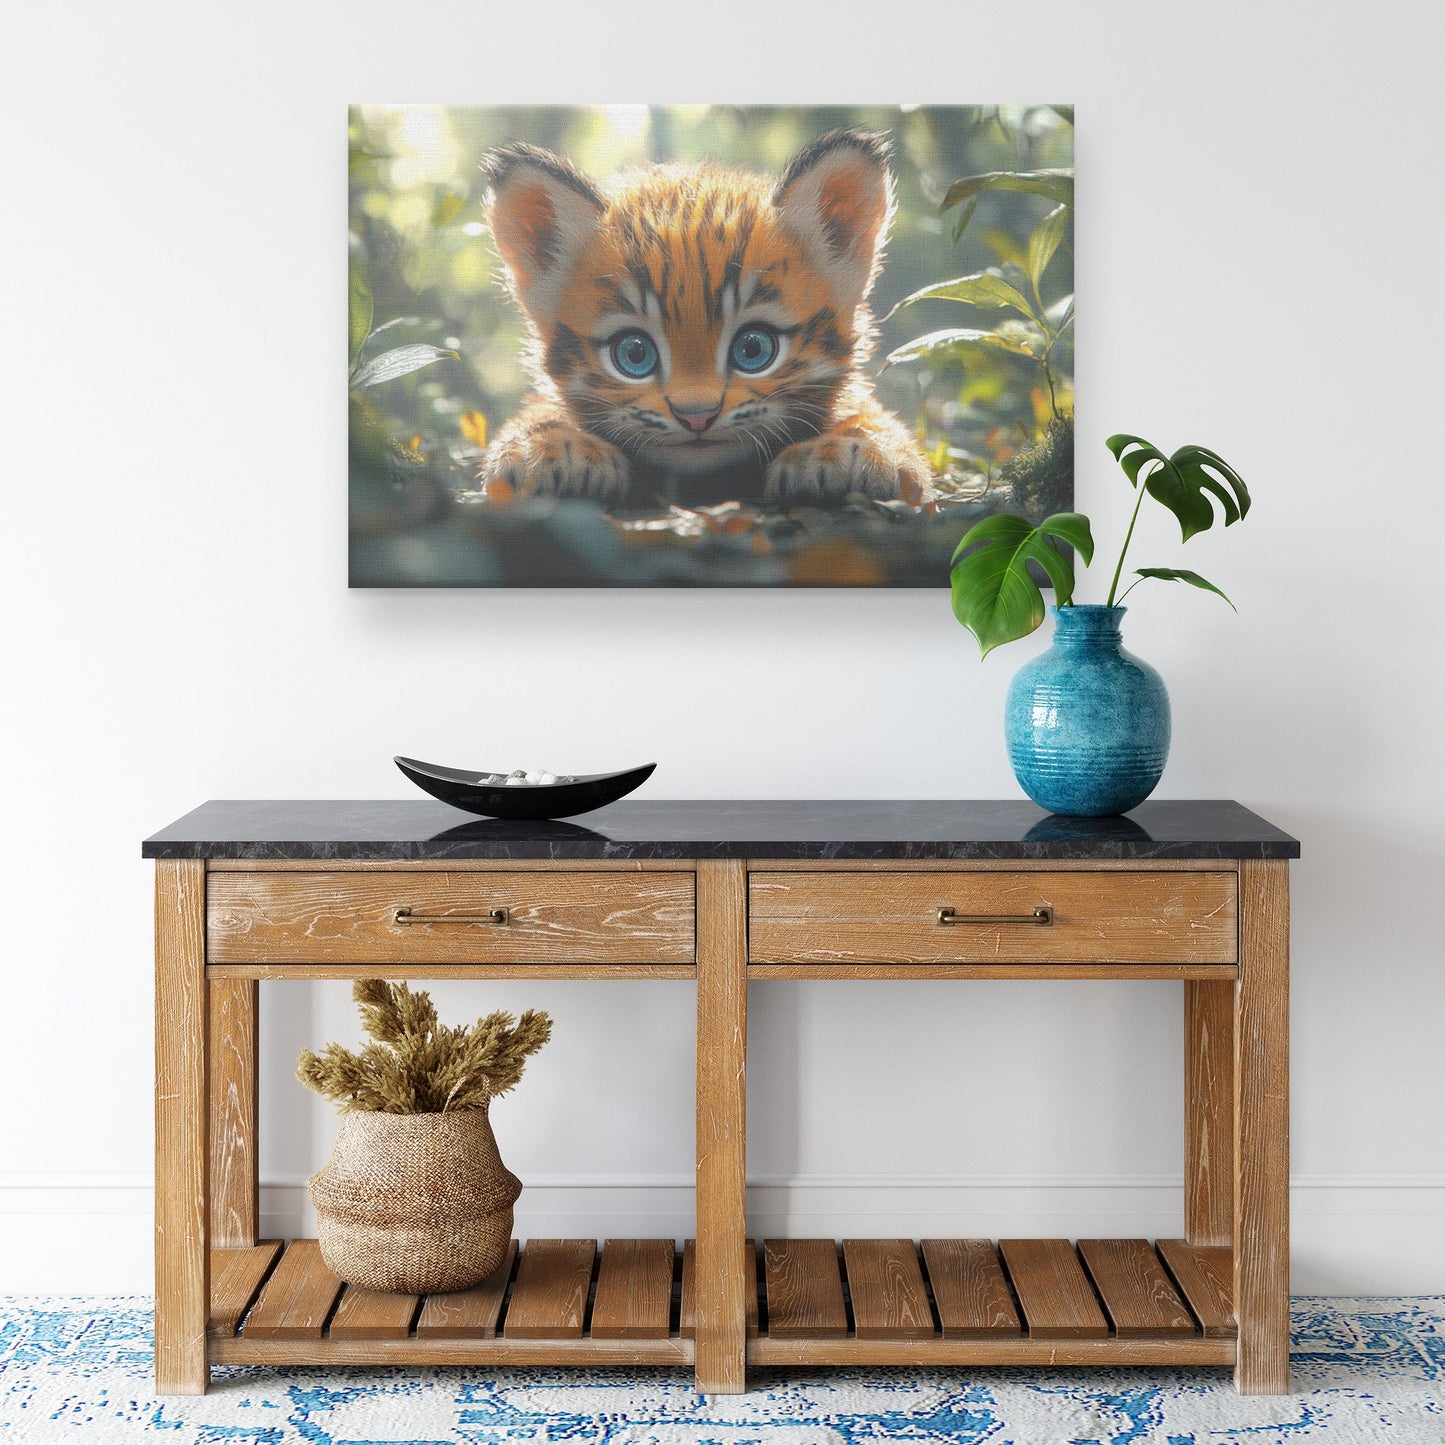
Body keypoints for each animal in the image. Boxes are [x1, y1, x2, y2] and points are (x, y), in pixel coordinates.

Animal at [478, 128, 933, 507]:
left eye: (753, 349)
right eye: (635, 354)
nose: (696, 415)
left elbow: (867, 414)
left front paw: (849, 447)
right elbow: (542, 410)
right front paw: (556, 446)